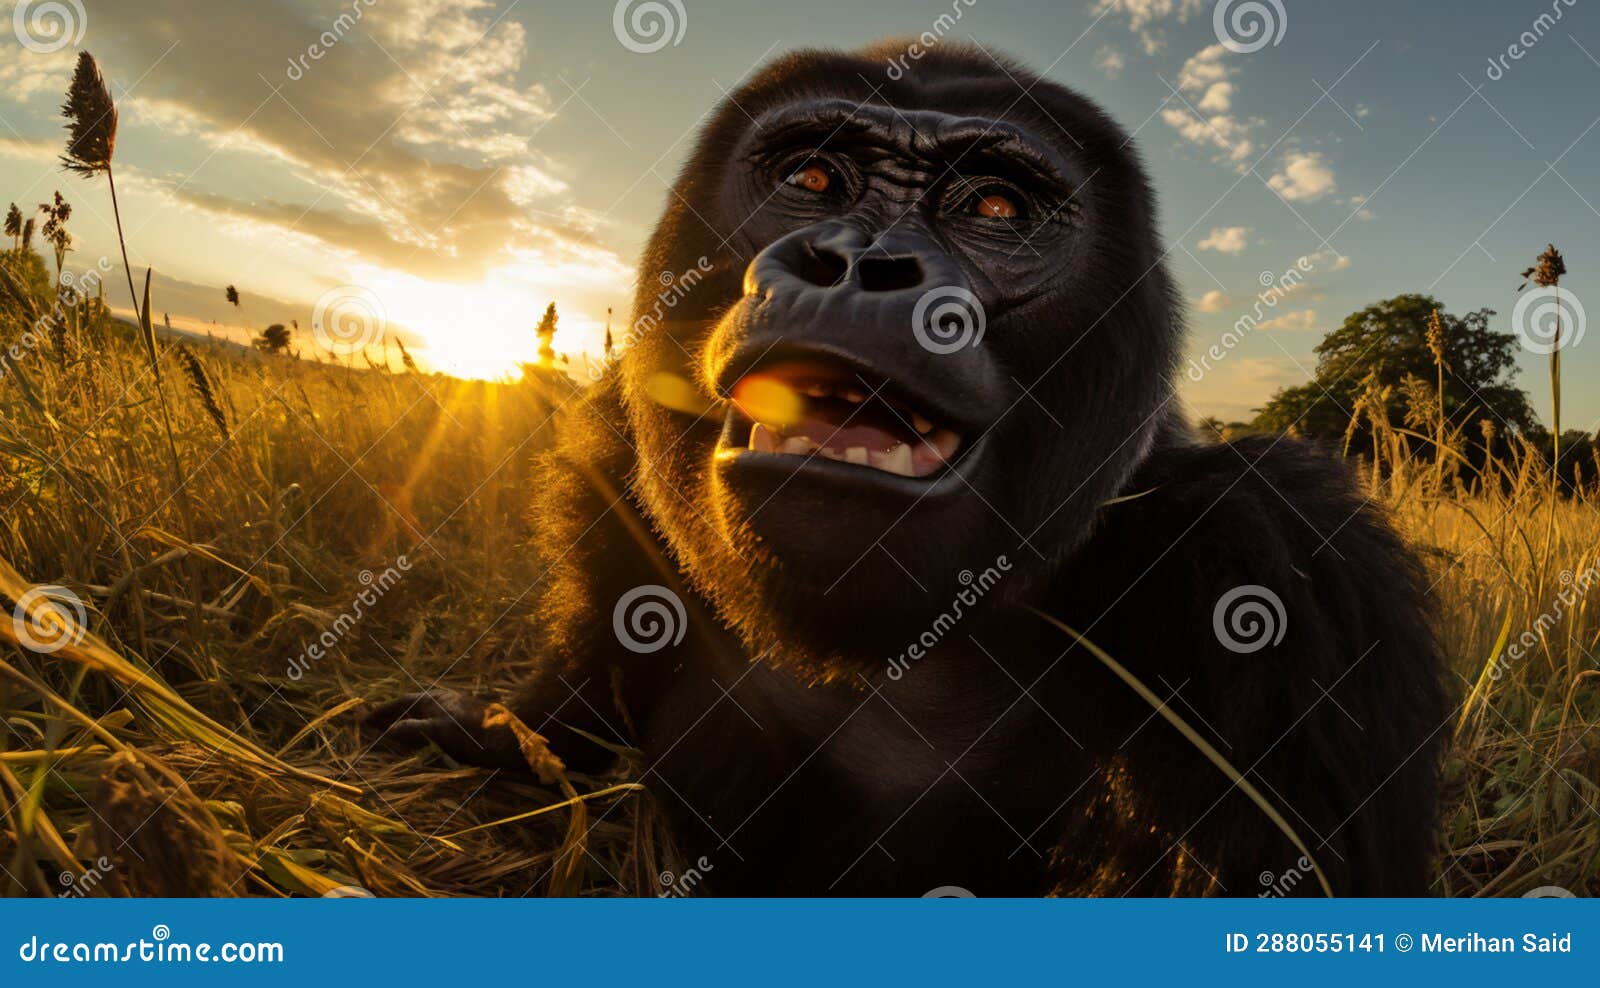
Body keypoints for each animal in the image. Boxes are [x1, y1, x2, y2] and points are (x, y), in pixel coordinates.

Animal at [367, 42, 1447, 897]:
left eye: (996, 205)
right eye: (812, 181)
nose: (857, 268)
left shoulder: (1276, 559)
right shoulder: (621, 452)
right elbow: (590, 684)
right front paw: (502, 728)